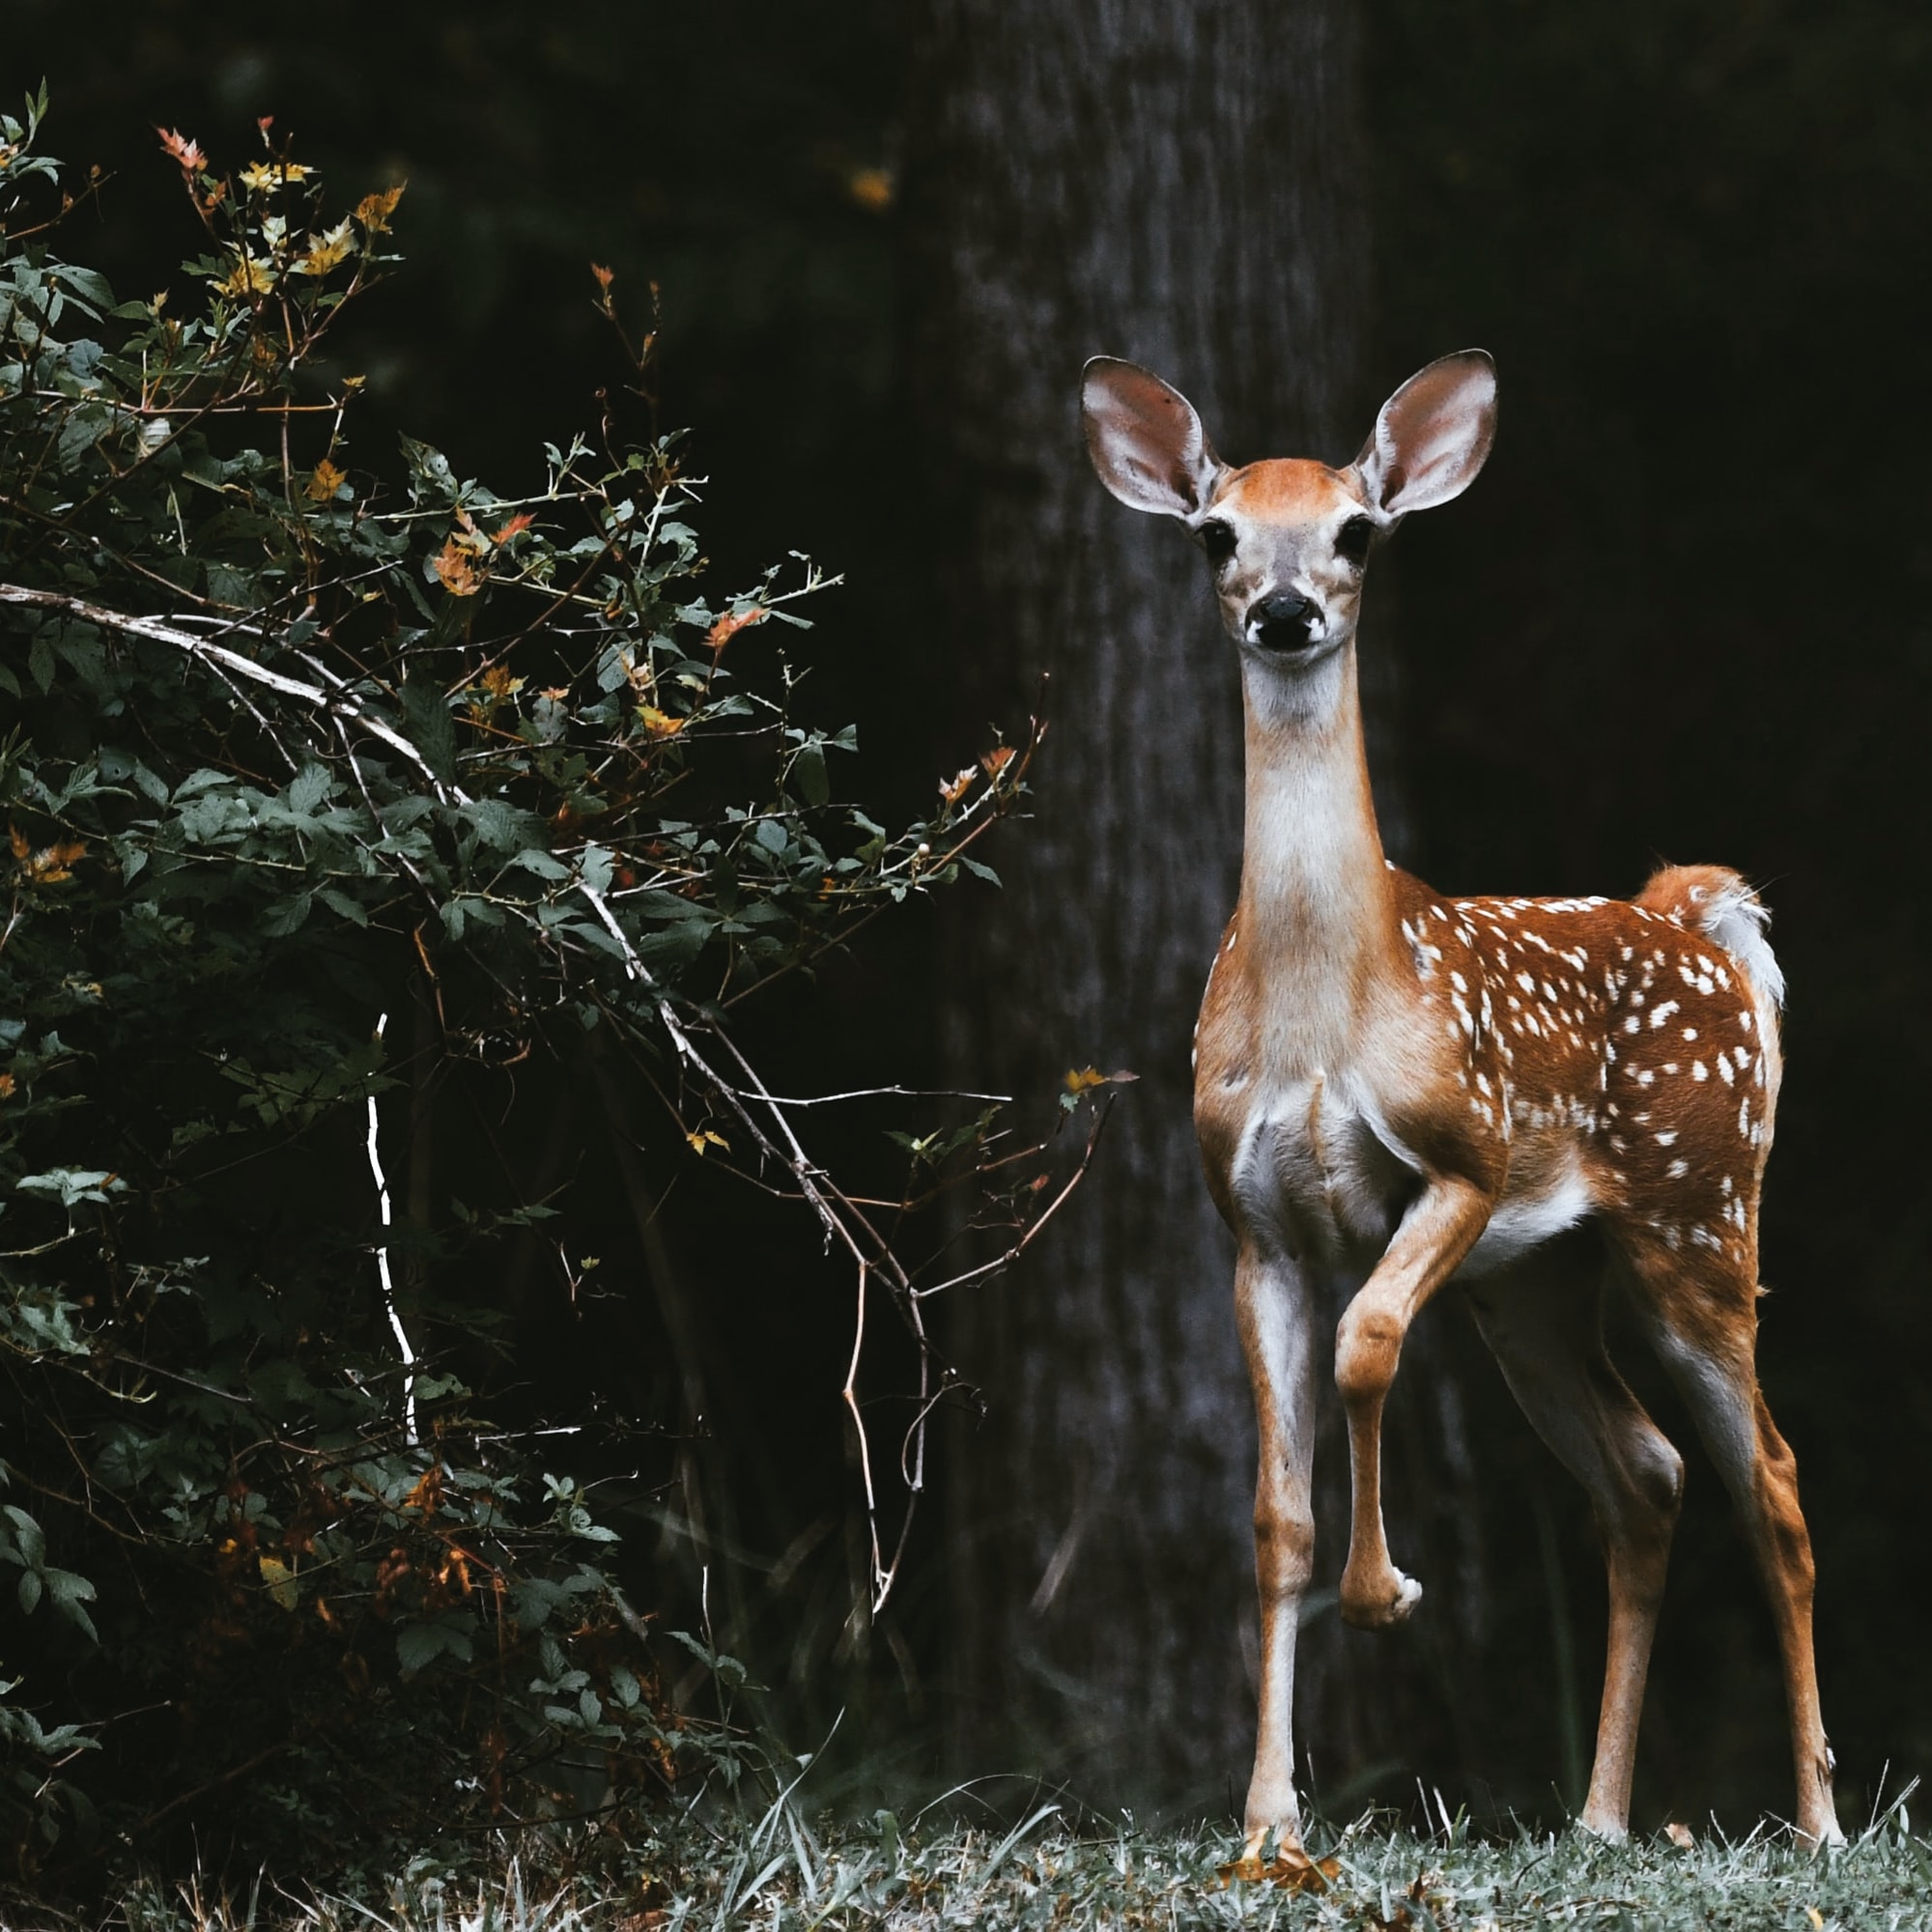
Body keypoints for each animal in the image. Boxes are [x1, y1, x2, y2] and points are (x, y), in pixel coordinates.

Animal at [1080, 349, 1842, 1857]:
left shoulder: (1462, 1158)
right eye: (1215, 535)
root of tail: (1696, 917)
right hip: (1537, 1284)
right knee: (1645, 1473)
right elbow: (1274, 1515)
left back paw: (1820, 1821)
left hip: (1699, 1217)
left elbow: (1369, 1344)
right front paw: (1268, 1819)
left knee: (1773, 1482)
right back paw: (1599, 1818)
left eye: (1357, 532)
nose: (1287, 611)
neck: (1327, 1009)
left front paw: (1388, 1591)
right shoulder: (1250, 1224)